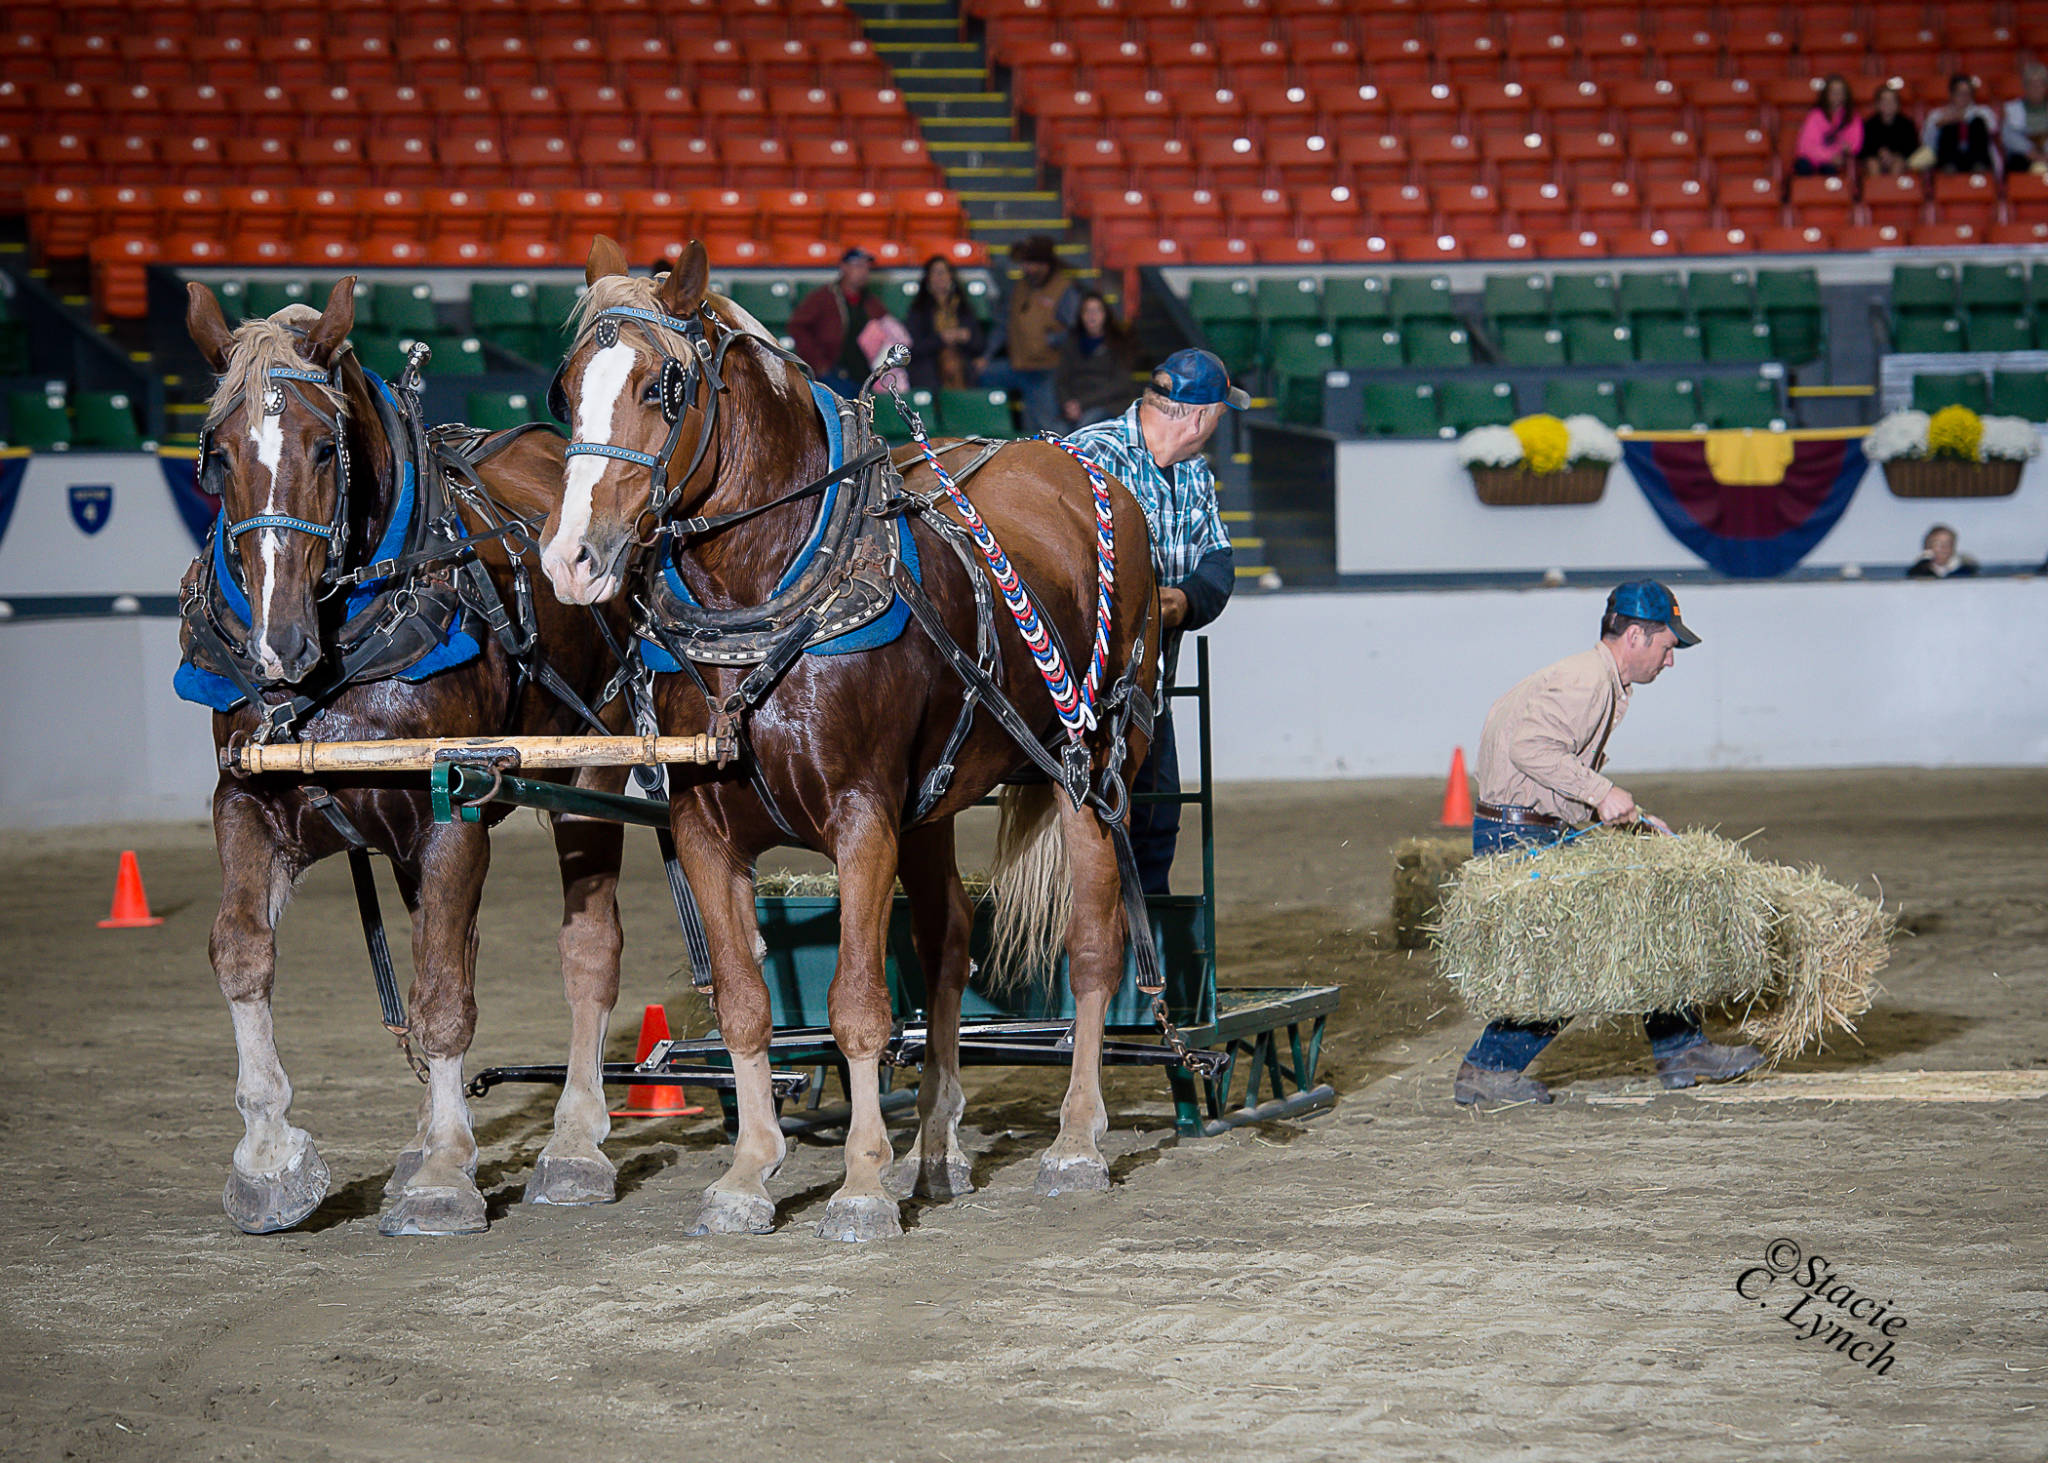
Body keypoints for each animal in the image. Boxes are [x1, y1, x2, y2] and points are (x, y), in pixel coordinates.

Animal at [181, 279, 634, 1236]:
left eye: (325, 448)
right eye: (218, 458)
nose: (277, 644)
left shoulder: (448, 816)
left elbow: (441, 998)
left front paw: (445, 1176)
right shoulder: (248, 799)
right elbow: (242, 950)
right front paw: (269, 1158)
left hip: (591, 777)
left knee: (586, 951)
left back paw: (575, 1145)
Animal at [535, 236, 1160, 1242]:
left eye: (667, 386)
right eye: (563, 390)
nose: (570, 559)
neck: (766, 600)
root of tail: (1089, 473)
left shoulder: (863, 818)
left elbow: (860, 1004)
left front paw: (861, 1183)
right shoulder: (705, 828)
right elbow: (745, 1002)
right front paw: (749, 1173)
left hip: (1089, 769)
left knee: (1096, 945)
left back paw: (1074, 1139)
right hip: (935, 801)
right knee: (947, 941)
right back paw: (937, 1149)